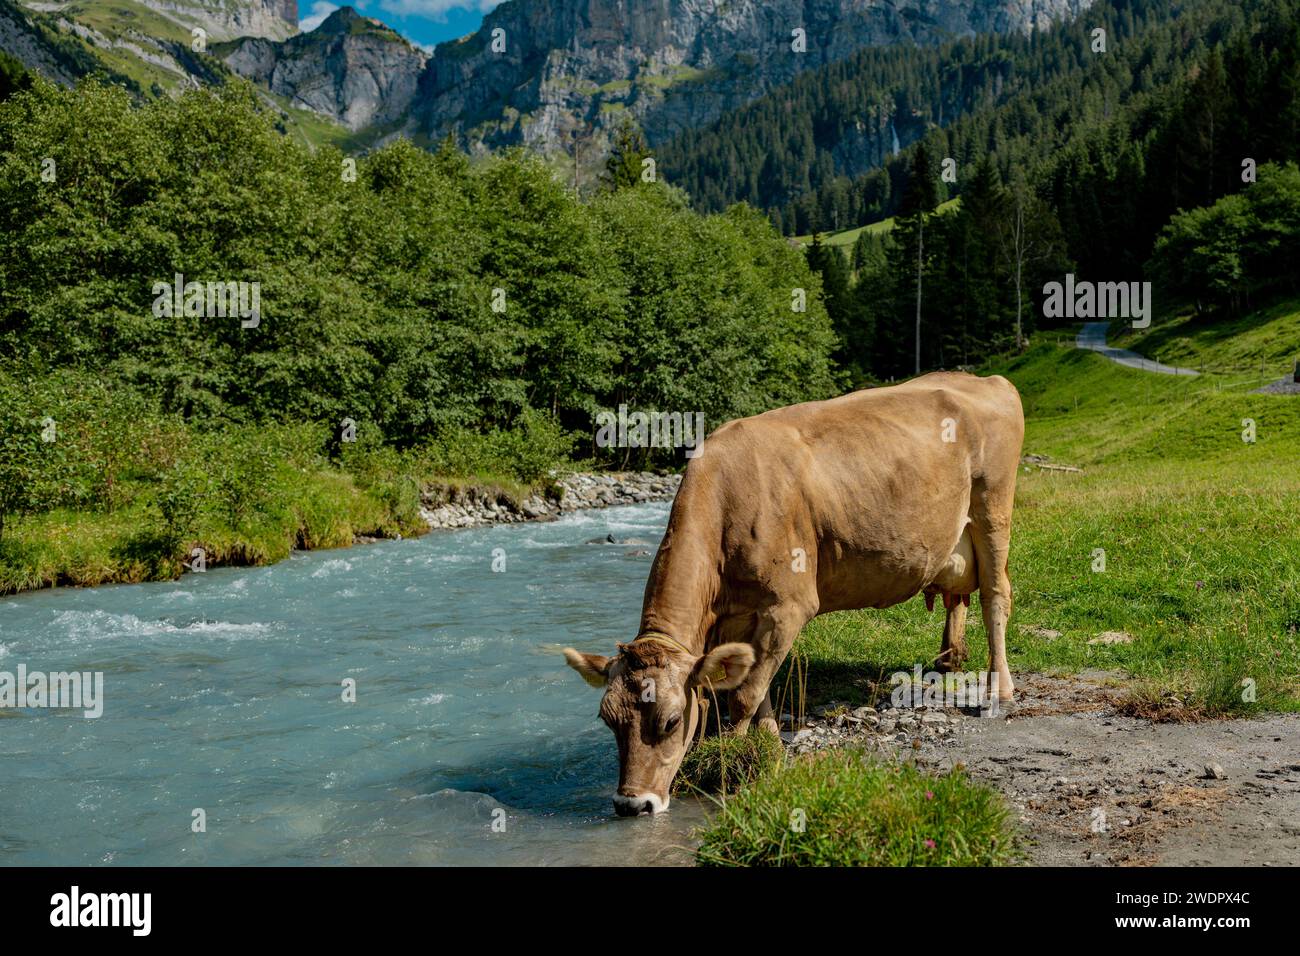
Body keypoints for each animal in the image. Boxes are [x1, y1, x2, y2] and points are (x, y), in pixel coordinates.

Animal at [563, 371, 1024, 816]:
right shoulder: (741, 617)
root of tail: (985, 379)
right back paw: (950, 658)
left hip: (993, 507)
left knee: (996, 596)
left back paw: (997, 690)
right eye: (608, 720)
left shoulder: (788, 606)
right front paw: (768, 740)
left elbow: (744, 696)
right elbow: (755, 683)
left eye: (672, 721)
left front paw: (729, 758)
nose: (632, 803)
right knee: (959, 597)